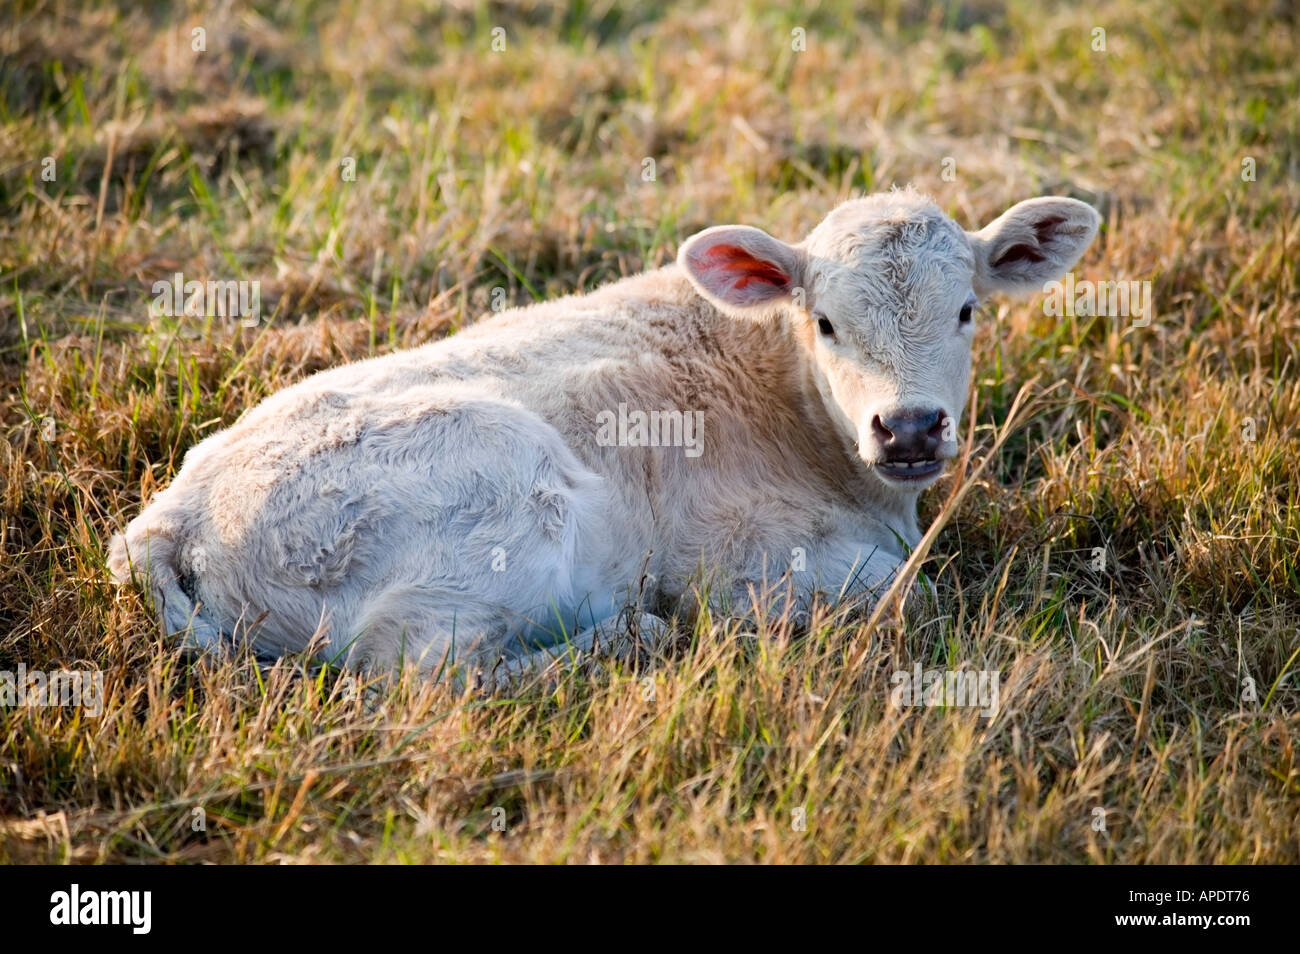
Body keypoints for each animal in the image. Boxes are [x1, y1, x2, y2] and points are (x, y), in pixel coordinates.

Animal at [108, 188, 1100, 683]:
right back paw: (632, 637)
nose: (909, 428)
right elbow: (906, 592)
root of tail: (169, 517)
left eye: (967, 309)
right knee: (426, 674)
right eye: (823, 323)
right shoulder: (737, 553)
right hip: (498, 502)